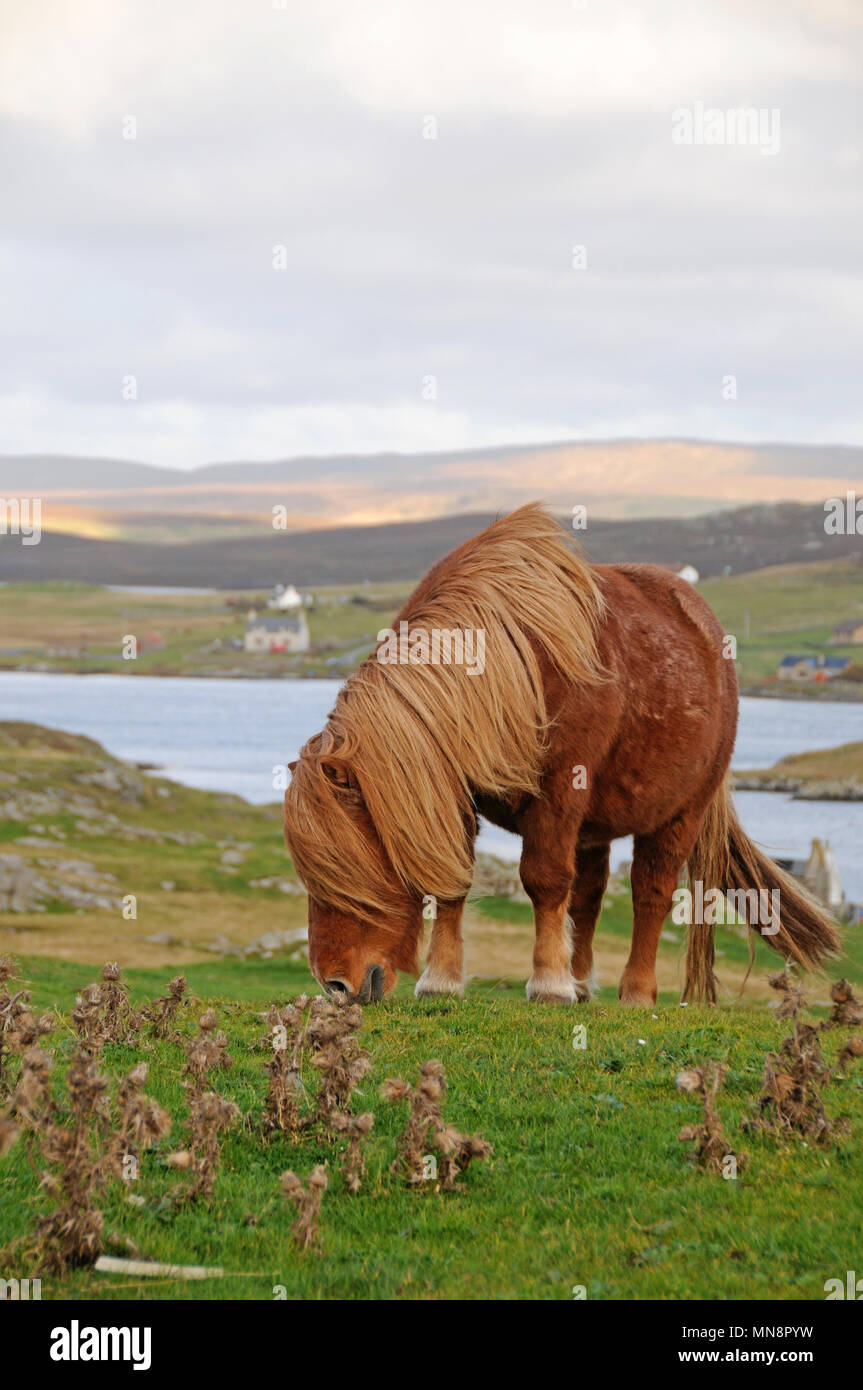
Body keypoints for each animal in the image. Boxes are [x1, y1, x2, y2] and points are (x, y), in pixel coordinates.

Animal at [284, 504, 839, 1006]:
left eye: (346, 863)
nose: (335, 985)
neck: (510, 671)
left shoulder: (558, 793)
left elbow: (546, 880)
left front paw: (548, 985)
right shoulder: (456, 792)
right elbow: (456, 880)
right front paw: (442, 981)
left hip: (680, 812)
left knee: (651, 894)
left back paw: (635, 993)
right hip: (596, 824)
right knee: (590, 896)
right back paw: (583, 982)